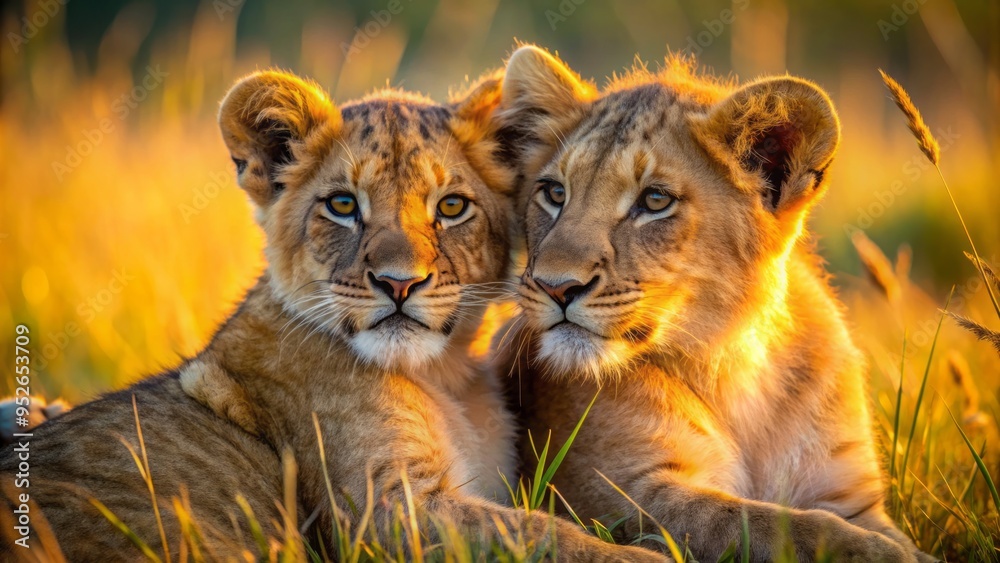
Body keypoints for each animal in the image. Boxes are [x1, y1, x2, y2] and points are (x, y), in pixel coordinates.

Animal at [0, 69, 664, 562]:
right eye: (343, 205)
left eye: (452, 207)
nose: (399, 283)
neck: (446, 377)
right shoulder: (388, 513)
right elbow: (540, 533)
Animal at [492, 45, 934, 562]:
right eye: (555, 193)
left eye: (655, 200)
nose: (555, 286)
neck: (738, 370)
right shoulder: (625, 496)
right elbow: (772, 525)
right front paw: (883, 554)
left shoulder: (851, 495)